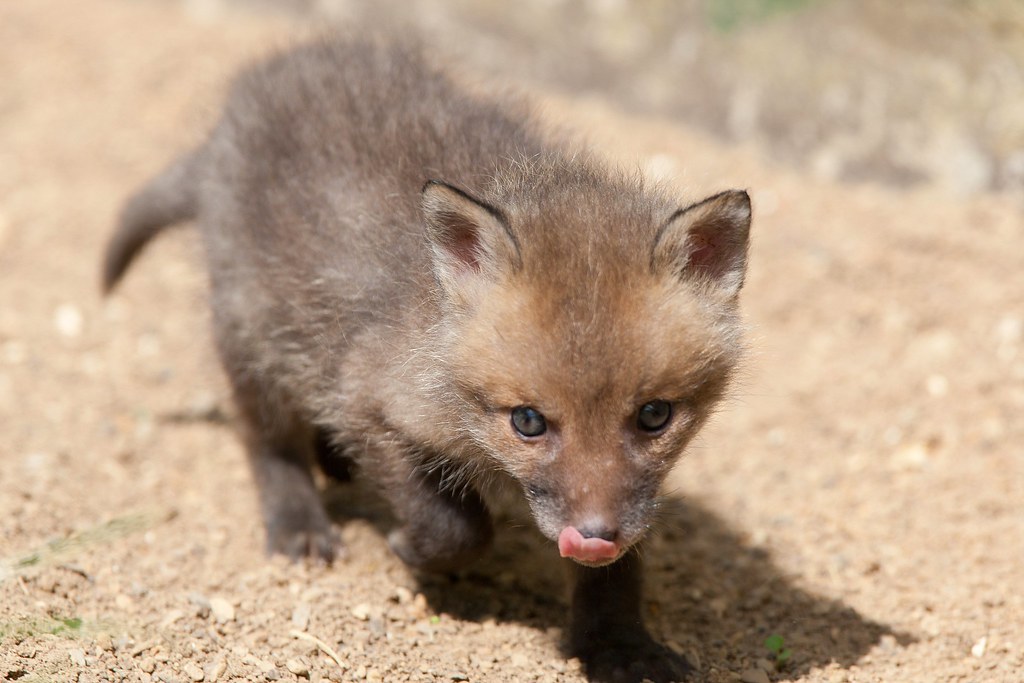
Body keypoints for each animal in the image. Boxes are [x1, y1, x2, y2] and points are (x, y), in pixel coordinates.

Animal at [102, 36, 752, 683]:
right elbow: (456, 527)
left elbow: (619, 573)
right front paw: (410, 549)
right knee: (267, 441)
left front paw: (620, 647)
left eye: (654, 416)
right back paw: (299, 523)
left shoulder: (627, 498)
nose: (593, 537)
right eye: (528, 422)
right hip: (253, 334)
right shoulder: (369, 398)